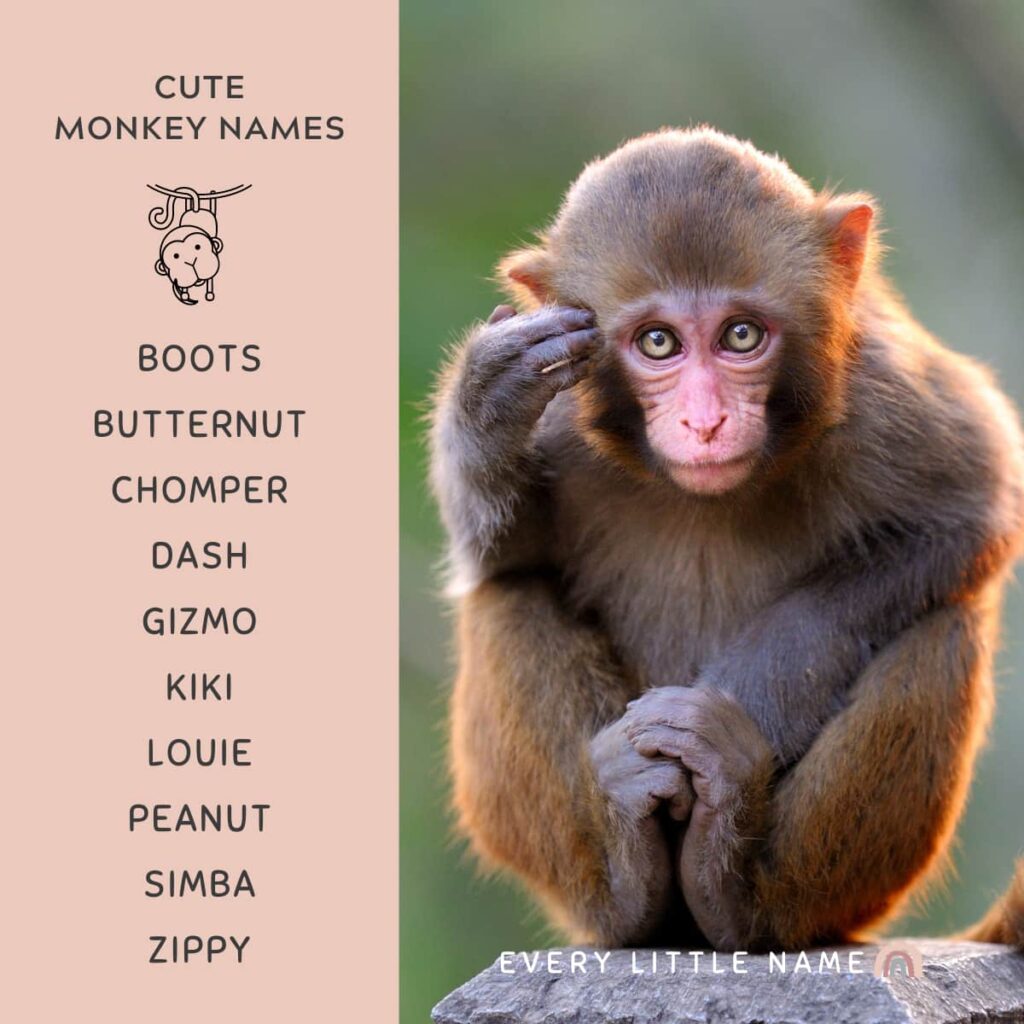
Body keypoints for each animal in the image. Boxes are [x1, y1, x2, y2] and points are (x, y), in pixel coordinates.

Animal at [429, 127, 1024, 952]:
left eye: (741, 335)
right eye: (657, 343)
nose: (705, 421)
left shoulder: (885, 390)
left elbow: (972, 515)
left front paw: (737, 709)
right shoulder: (559, 405)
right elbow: (503, 553)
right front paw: (486, 405)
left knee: (944, 624)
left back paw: (739, 886)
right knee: (506, 599)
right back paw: (627, 882)